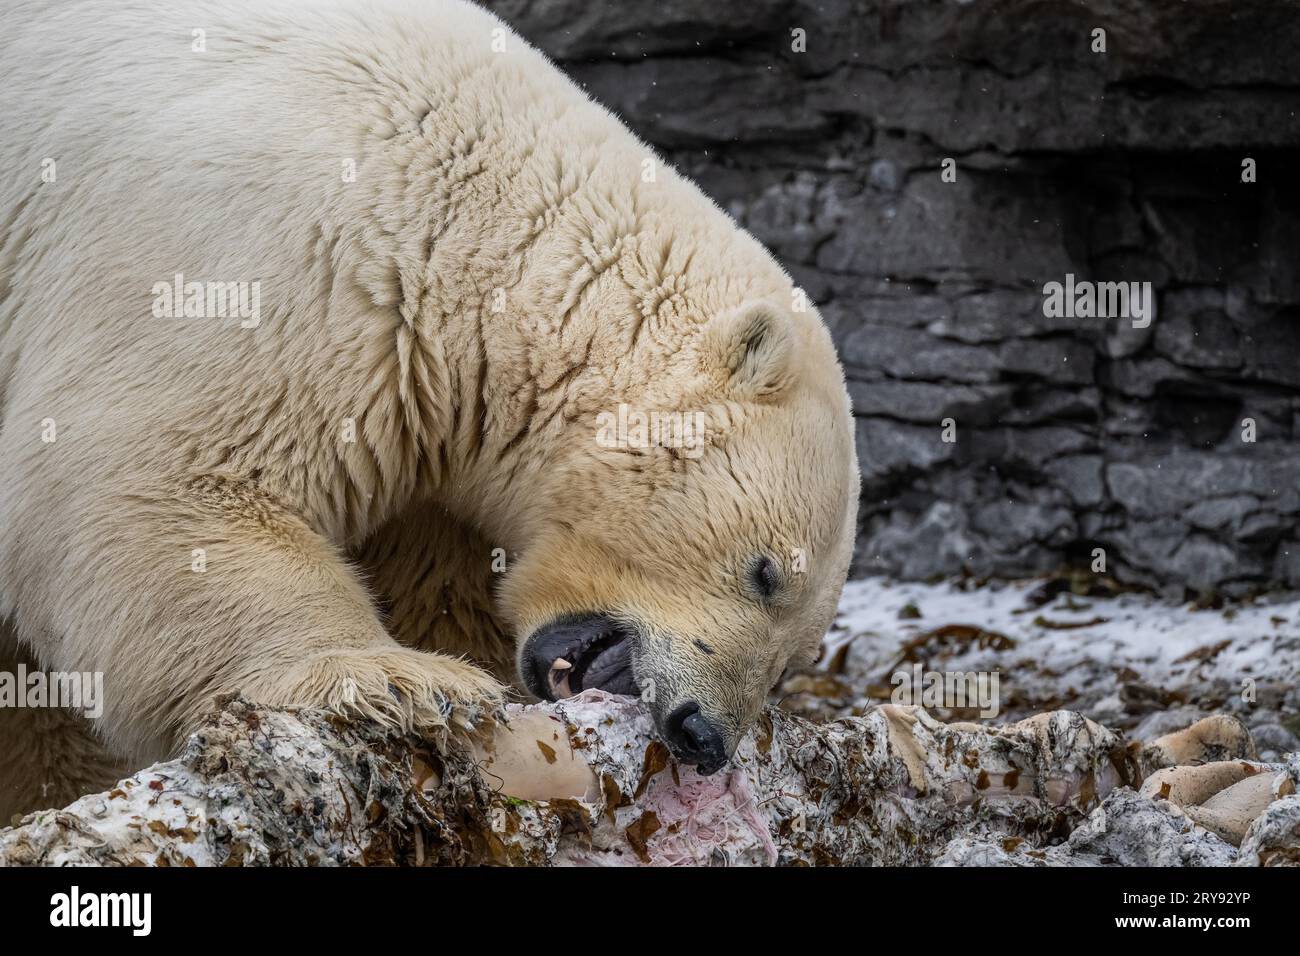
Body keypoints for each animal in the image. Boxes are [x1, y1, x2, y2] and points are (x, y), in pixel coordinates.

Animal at [0, 0, 858, 819]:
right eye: (764, 574)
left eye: (792, 659)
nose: (704, 735)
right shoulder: (280, 259)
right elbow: (159, 479)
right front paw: (393, 679)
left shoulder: (433, 428)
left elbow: (439, 579)